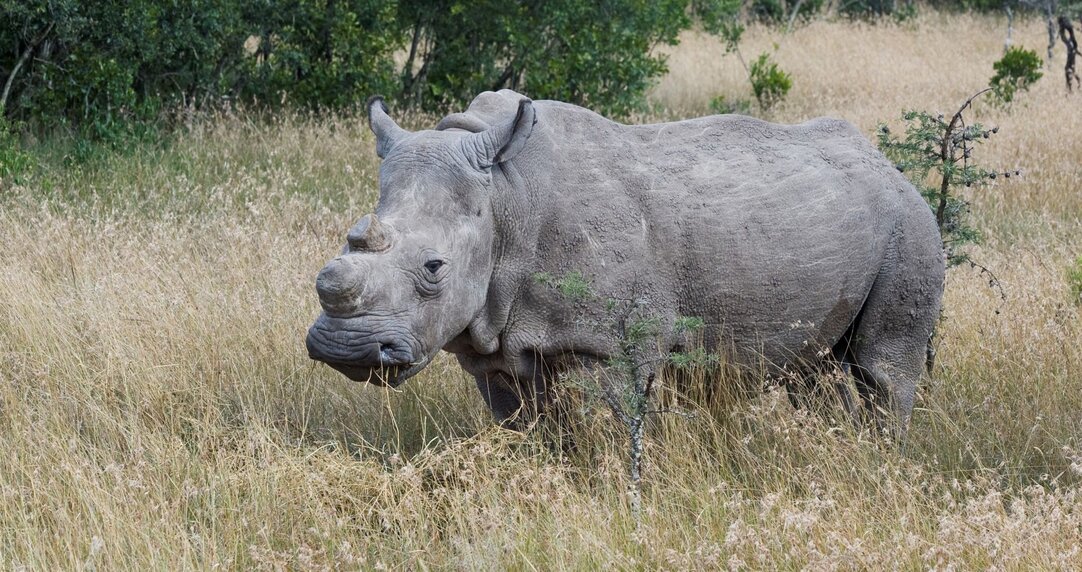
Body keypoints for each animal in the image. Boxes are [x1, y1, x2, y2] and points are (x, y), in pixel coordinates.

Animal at [305, 89, 944, 434]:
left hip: (909, 222)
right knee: (811, 367)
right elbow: (527, 430)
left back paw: (881, 458)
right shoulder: (493, 347)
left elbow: (611, 435)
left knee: (882, 369)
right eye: (346, 242)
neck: (505, 198)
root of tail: (887, 163)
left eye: (434, 268)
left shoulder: (609, 347)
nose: (345, 349)